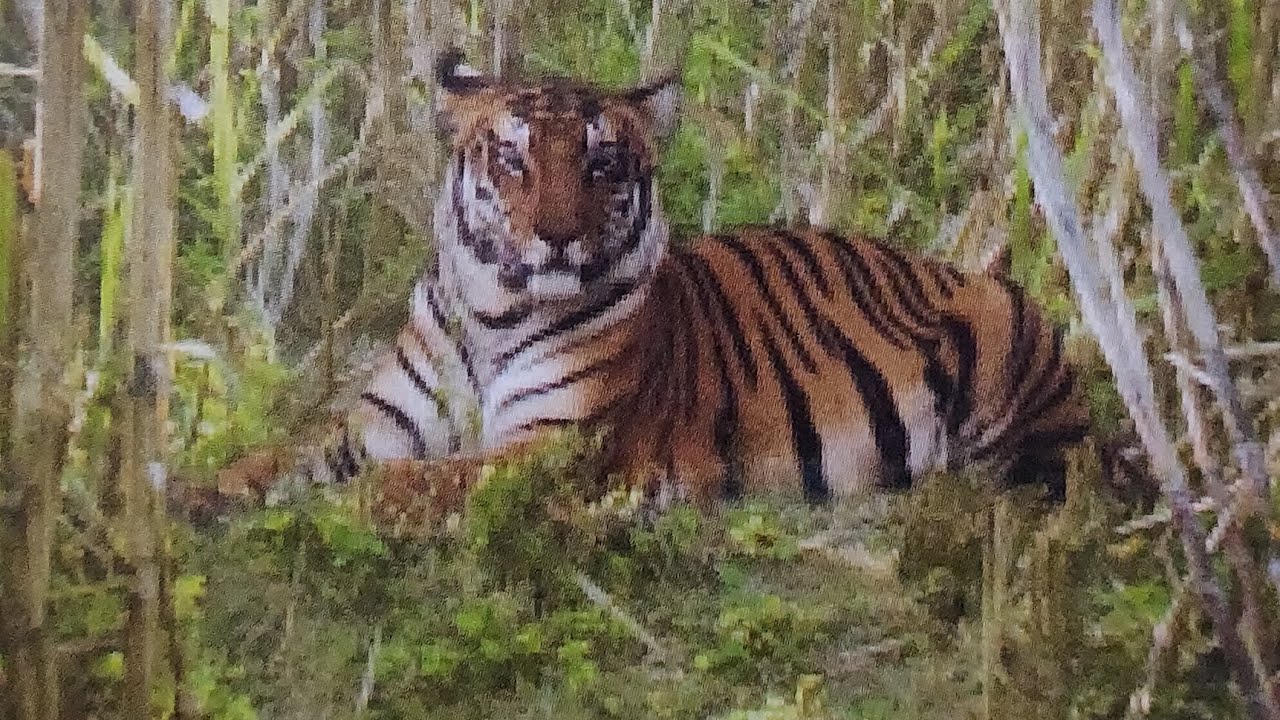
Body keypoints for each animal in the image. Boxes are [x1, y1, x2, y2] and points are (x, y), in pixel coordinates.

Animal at [325, 50, 1091, 524]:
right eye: (513, 159)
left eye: (602, 163)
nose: (557, 235)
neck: (493, 313)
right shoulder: (377, 422)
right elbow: (307, 459)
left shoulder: (548, 447)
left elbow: (427, 478)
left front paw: (349, 504)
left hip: (1007, 329)